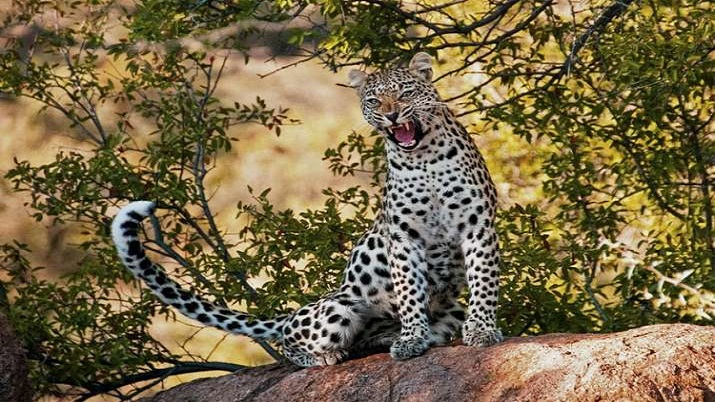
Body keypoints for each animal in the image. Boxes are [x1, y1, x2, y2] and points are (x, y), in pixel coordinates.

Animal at [111, 52, 503, 367]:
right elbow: (409, 292)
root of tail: (293, 314)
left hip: (449, 307)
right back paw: (332, 354)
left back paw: (388, 339)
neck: (423, 158)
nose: (391, 116)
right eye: (374, 100)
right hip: (337, 308)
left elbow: (483, 282)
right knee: (291, 345)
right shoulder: (404, 237)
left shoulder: (477, 225)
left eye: (406, 92)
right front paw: (411, 338)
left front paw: (482, 330)